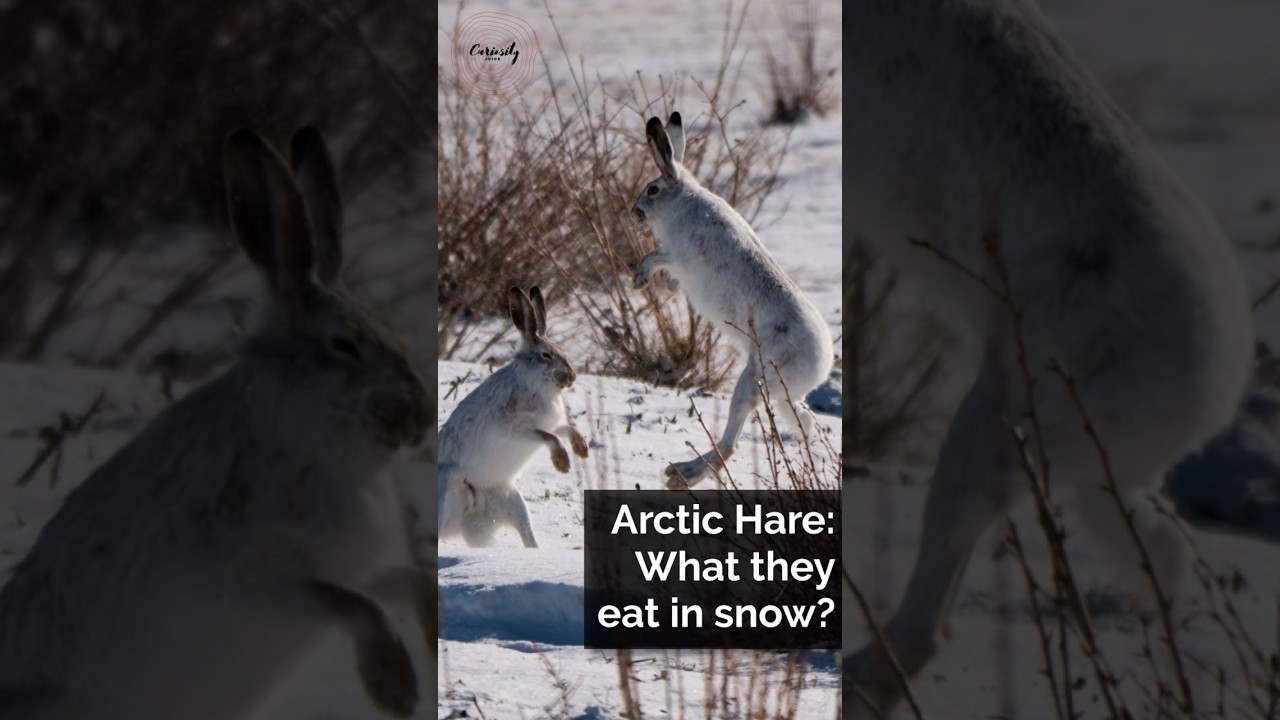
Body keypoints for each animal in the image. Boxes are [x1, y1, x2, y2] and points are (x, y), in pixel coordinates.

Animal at [0, 127, 434, 720]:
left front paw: (434, 632)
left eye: (393, 331)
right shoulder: (260, 583)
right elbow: (357, 604)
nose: (422, 416)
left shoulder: (350, 564)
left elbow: (400, 583)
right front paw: (394, 690)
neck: (303, 439)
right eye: (343, 345)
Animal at [437, 286, 589, 549]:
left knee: (525, 532)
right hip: (443, 496)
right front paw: (562, 464)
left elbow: (565, 429)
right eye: (546, 355)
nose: (571, 377)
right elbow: (549, 437)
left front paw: (581, 449)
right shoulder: (517, 430)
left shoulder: (550, 421)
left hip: (511, 500)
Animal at [631, 111, 834, 488]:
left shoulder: (677, 255)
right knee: (803, 420)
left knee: (730, 444)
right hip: (778, 393)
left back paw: (682, 475)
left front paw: (638, 279)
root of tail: (822, 366)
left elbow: (653, 257)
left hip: (754, 381)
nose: (633, 211)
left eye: (652, 190)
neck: (682, 200)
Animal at [841, 0, 1253, 715]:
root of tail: (1219, 385)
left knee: (941, 583)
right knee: (1160, 540)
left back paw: (862, 676)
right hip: (1090, 462)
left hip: (1012, 420)